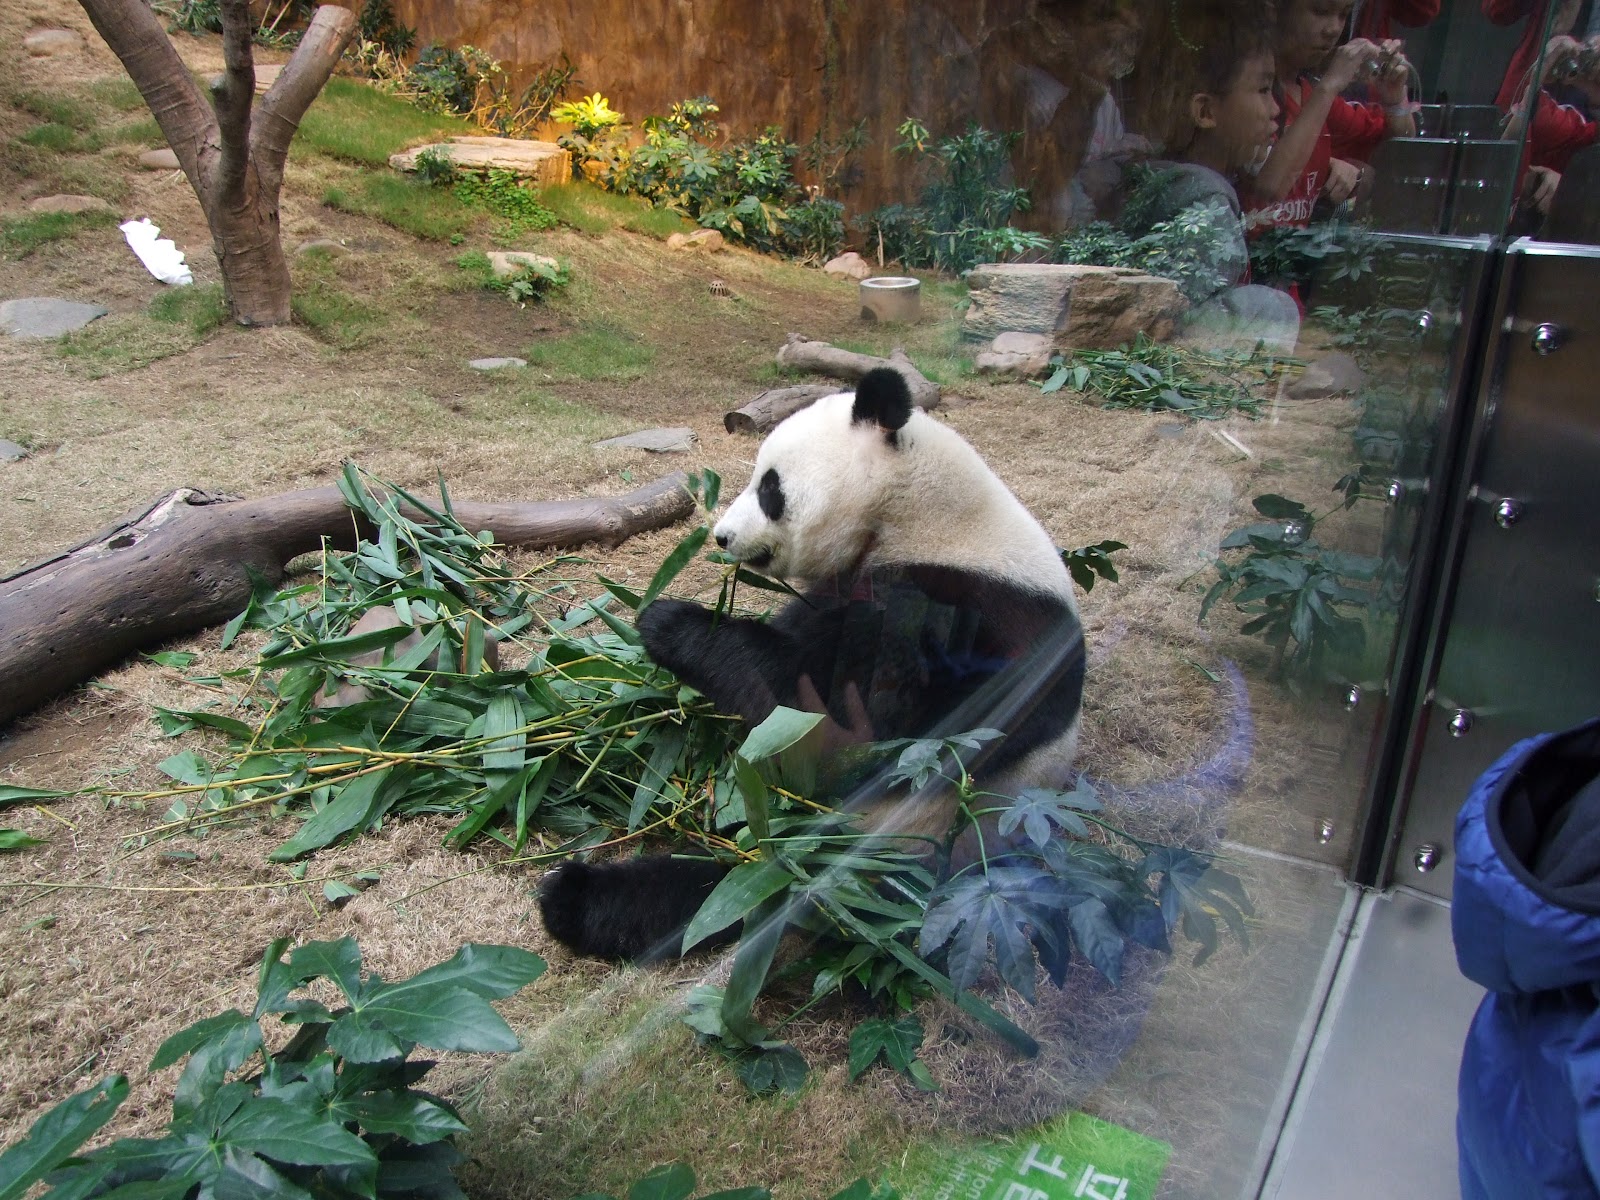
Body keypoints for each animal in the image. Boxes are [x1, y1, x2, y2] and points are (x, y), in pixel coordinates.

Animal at [537, 367, 1086, 962]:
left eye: (770, 488)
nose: (722, 536)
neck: (920, 514)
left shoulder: (961, 614)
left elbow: (830, 716)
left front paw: (670, 624)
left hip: (863, 845)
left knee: (734, 885)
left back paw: (577, 898)